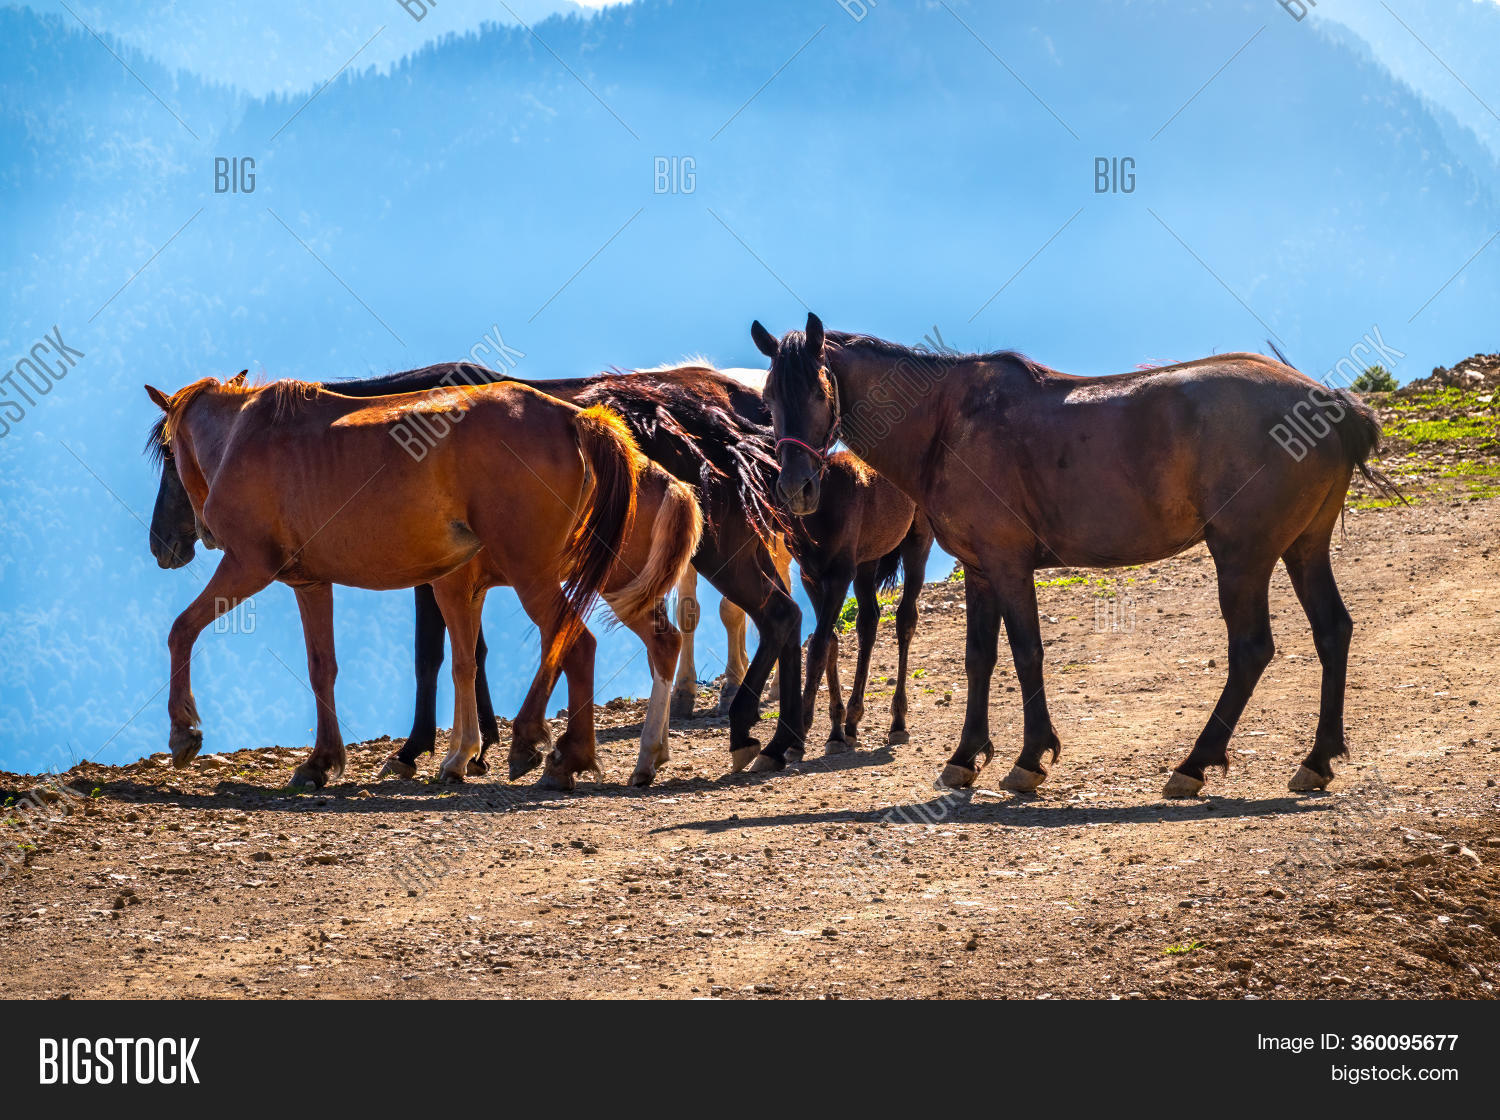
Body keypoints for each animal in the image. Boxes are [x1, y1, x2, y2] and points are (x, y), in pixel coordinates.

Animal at [144, 374, 699, 789]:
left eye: (168, 455)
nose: (161, 544)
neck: (245, 436)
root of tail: (573, 419)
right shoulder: (312, 584)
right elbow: (325, 668)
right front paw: (322, 761)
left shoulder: (246, 566)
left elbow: (180, 630)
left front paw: (183, 731)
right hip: (611, 584)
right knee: (658, 642)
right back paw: (642, 757)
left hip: (534, 572)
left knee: (576, 644)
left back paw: (559, 754)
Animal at [786, 451, 934, 752]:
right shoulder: (810, 575)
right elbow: (830, 639)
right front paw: (835, 731)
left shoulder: (839, 574)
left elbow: (818, 646)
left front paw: (798, 735)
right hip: (868, 561)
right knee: (868, 620)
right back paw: (852, 723)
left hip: (918, 541)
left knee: (905, 618)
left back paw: (897, 722)